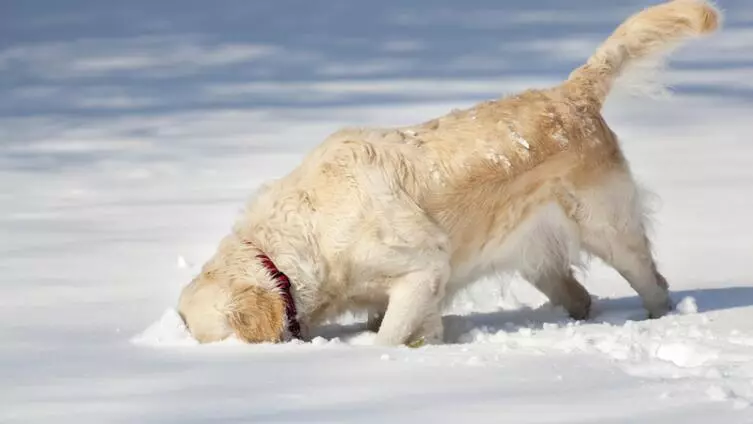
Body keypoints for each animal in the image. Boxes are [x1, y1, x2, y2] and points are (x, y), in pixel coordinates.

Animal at [178, 0, 724, 344]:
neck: (299, 242)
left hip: (608, 228)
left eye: (196, 331)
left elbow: (388, 337)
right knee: (581, 295)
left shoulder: (422, 270)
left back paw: (658, 320)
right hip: (536, 257)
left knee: (653, 280)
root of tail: (571, 94)